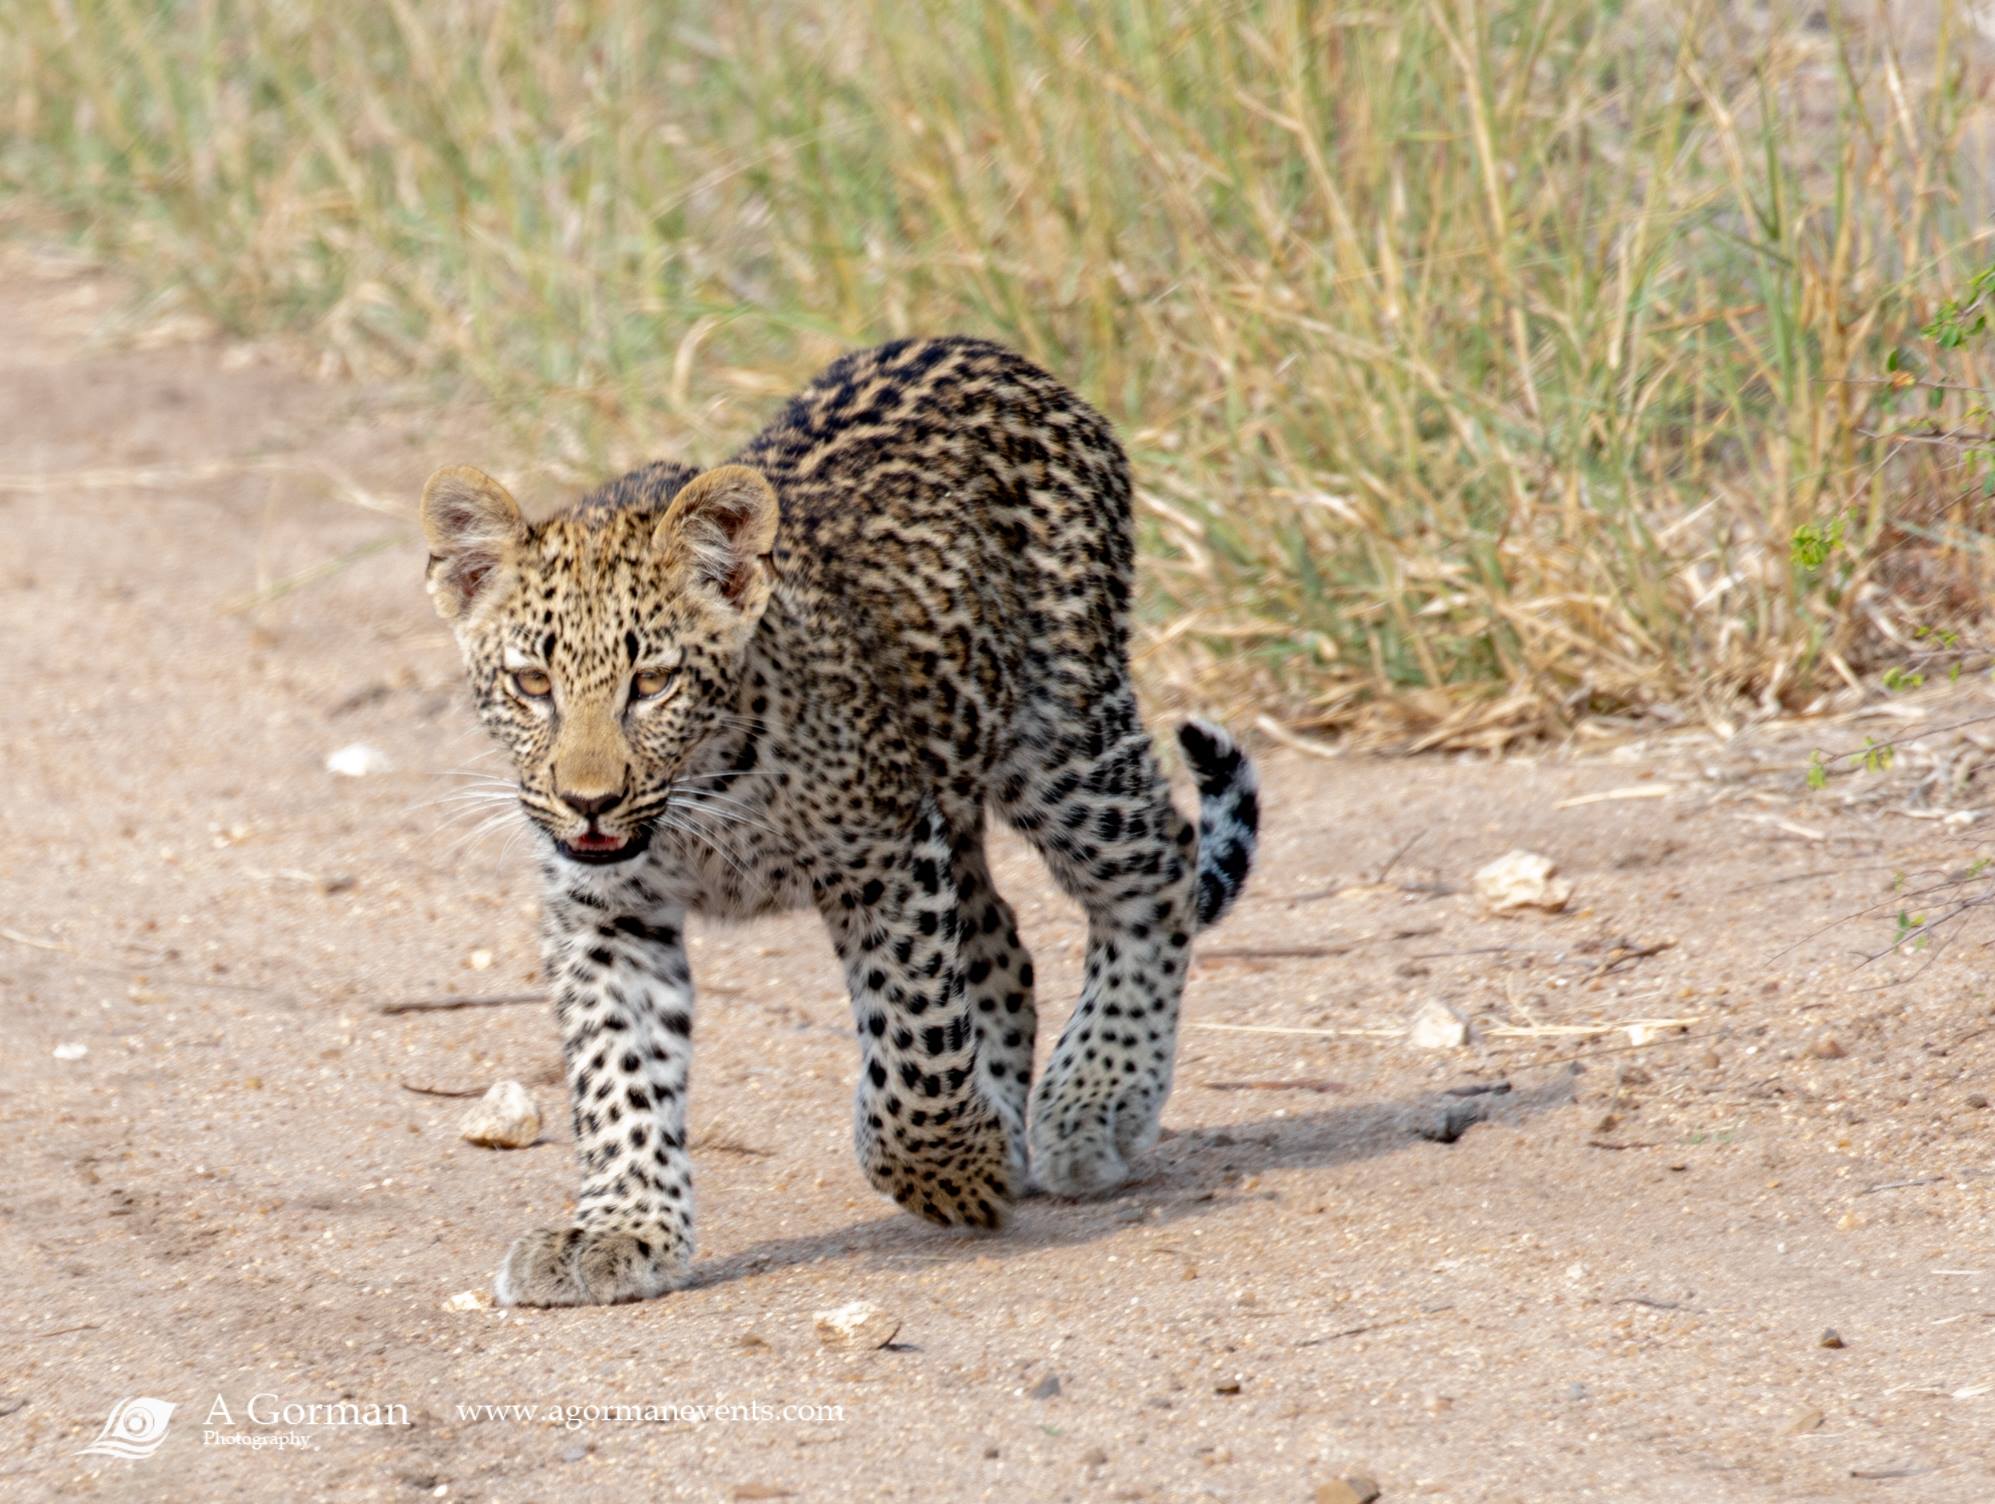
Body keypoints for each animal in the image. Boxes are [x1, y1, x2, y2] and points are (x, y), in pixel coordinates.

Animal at [417, 336, 1260, 1306]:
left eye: (653, 682)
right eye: (532, 685)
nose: (589, 800)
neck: (700, 802)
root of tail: (998, 353)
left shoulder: (886, 857)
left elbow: (916, 1045)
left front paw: (955, 1171)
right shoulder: (606, 914)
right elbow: (618, 1074)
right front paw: (622, 1229)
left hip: (1063, 740)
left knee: (1157, 869)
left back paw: (1094, 1100)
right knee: (1003, 942)